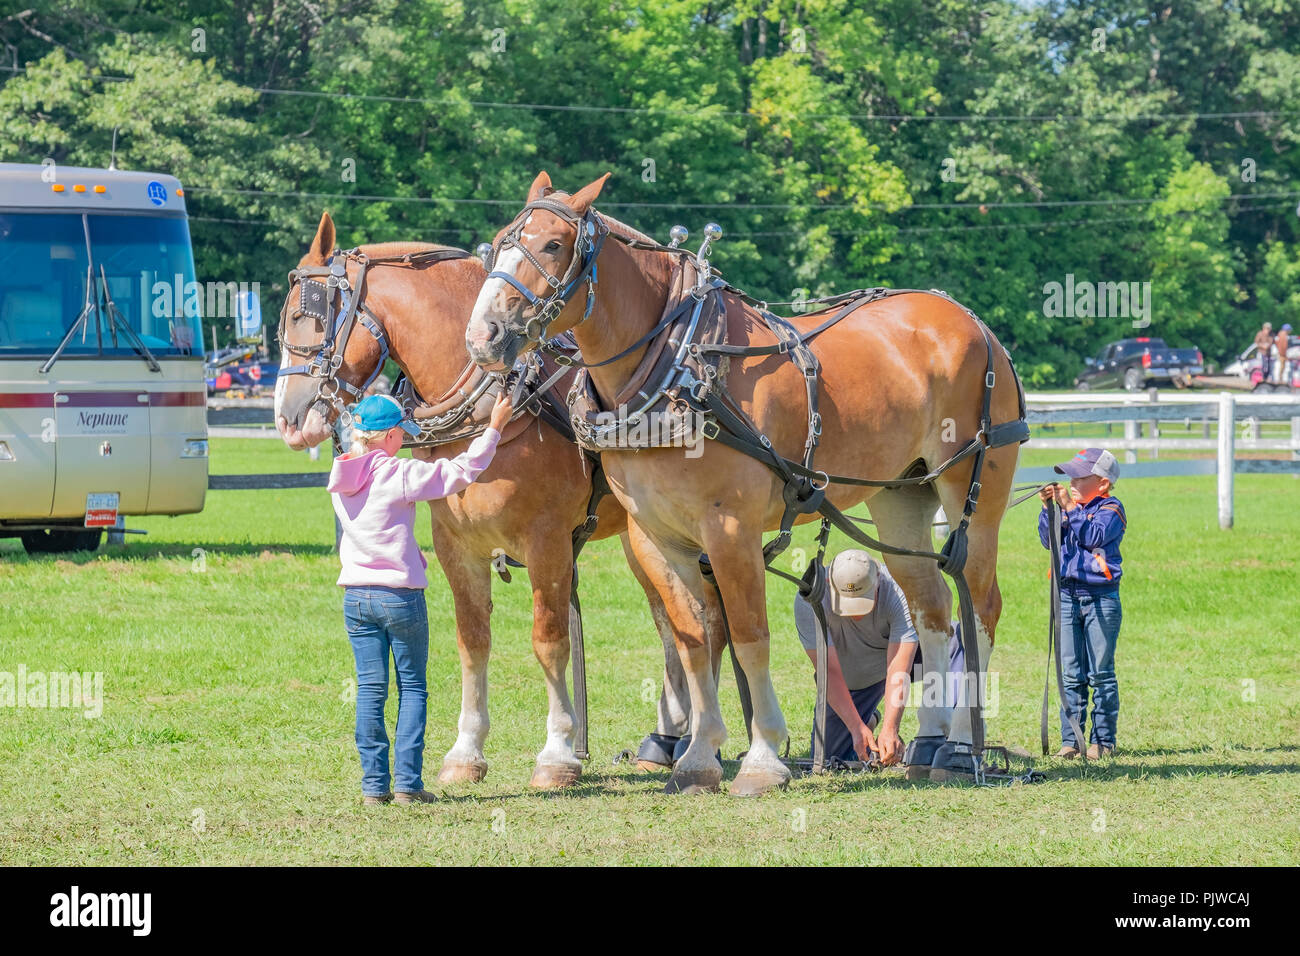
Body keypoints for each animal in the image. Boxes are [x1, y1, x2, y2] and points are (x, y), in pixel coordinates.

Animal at [273, 211, 695, 787]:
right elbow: (472, 641)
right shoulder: (456, 545)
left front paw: (558, 753)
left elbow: (549, 640)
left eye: (305, 316)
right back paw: (666, 741)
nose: (288, 420)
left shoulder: (548, 543)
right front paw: (465, 751)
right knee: (672, 622)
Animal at [464, 172, 1028, 796]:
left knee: (980, 605)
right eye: (498, 243)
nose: (484, 336)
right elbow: (695, 639)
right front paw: (698, 757)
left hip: (974, 490)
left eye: (553, 245)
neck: (681, 367)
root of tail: (972, 323)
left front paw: (762, 758)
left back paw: (959, 745)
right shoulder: (664, 537)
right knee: (931, 608)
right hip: (900, 494)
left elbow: (751, 634)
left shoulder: (730, 530)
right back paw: (927, 745)